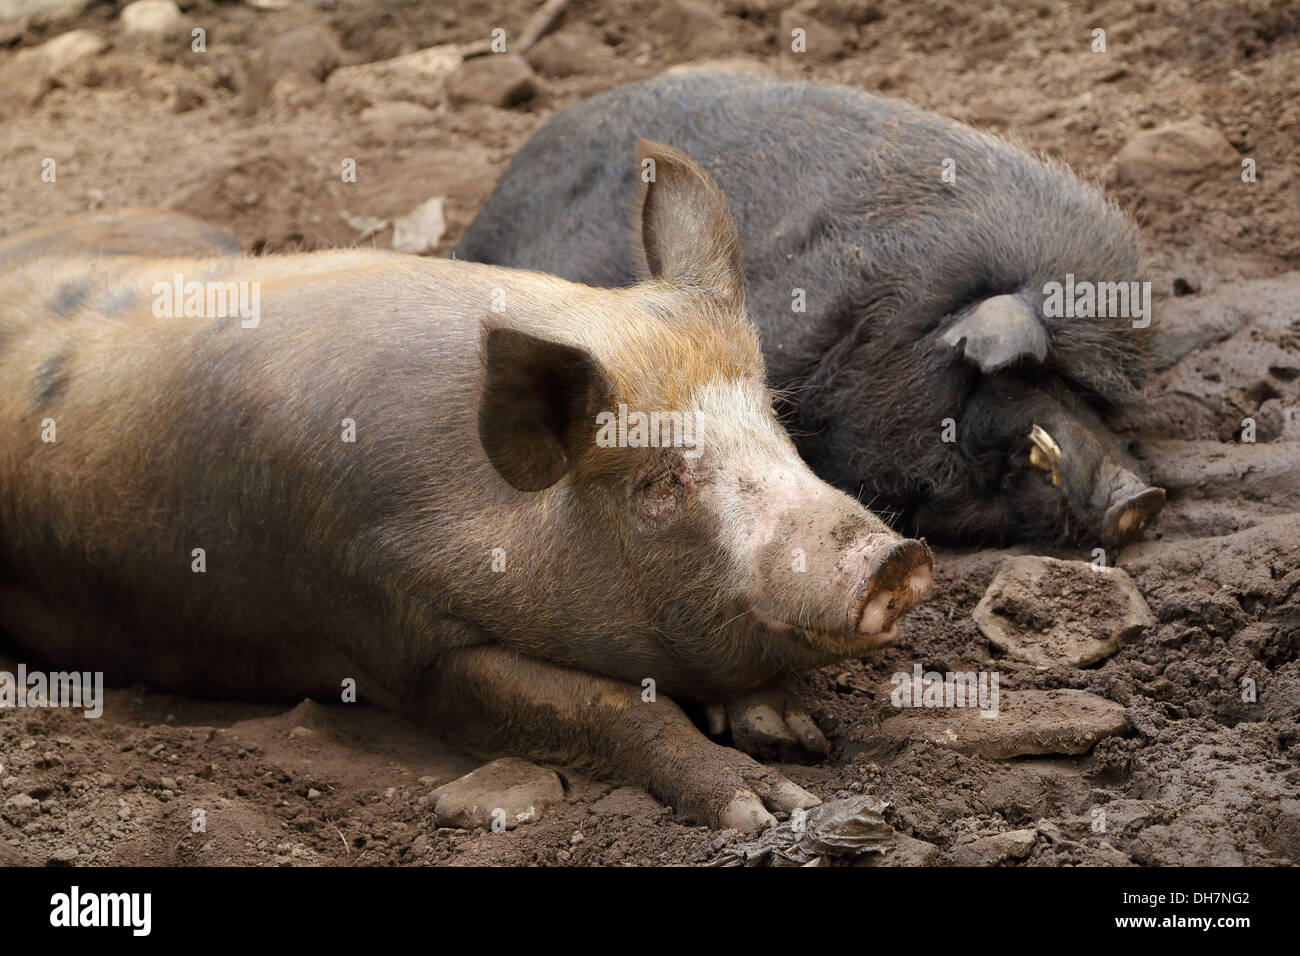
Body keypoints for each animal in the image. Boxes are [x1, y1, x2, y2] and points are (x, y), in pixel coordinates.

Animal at [0, 143, 933, 832]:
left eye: (774, 419)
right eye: (660, 481)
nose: (895, 559)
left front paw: (800, 740)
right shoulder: (397, 629)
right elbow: (614, 709)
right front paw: (768, 807)